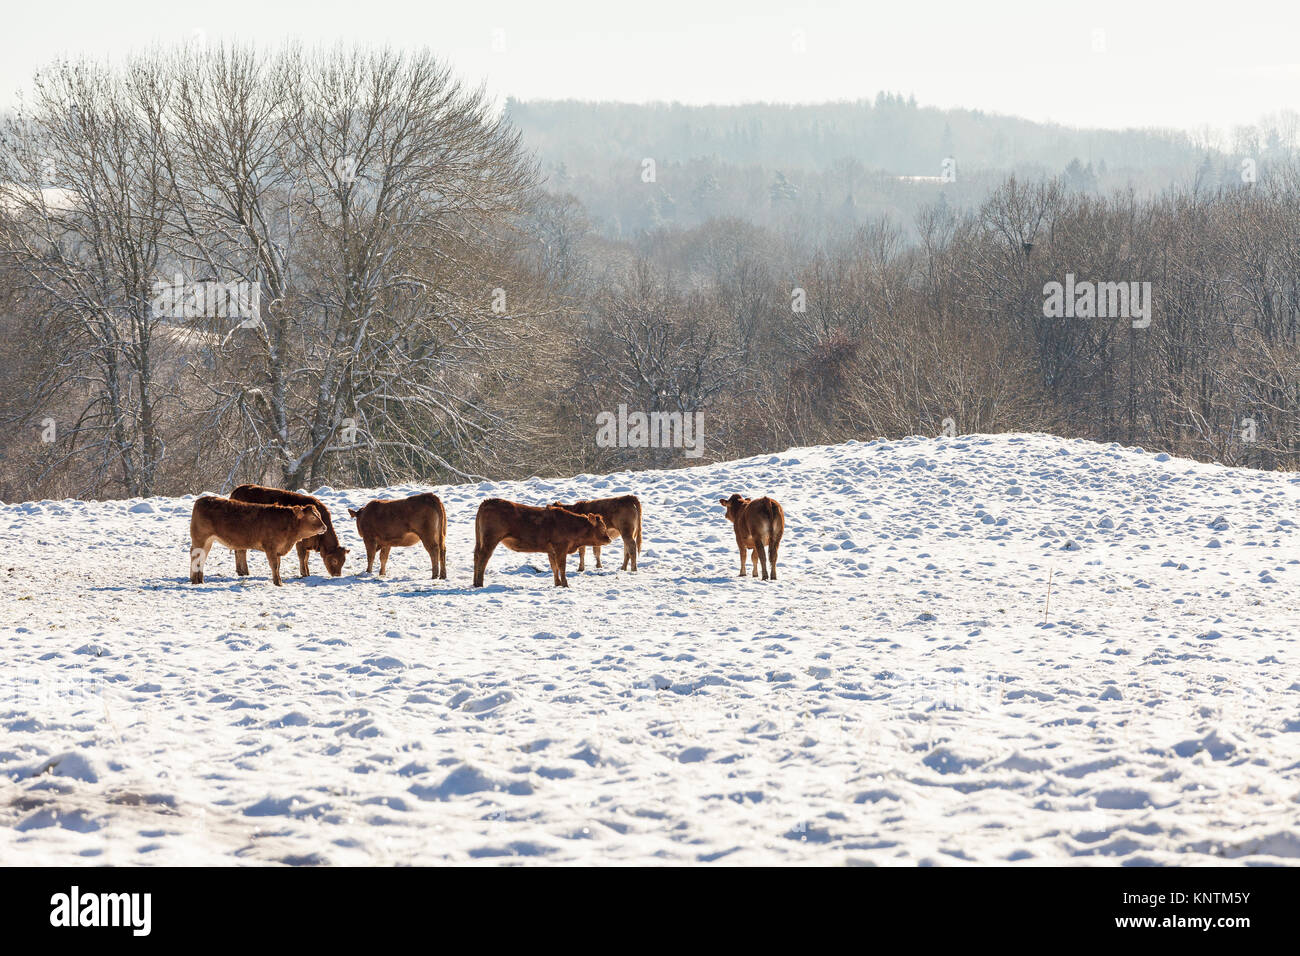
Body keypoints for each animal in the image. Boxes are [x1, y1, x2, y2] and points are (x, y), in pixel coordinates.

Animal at [189, 496, 326, 586]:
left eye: (319, 515)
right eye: (312, 517)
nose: (324, 527)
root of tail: (201, 500)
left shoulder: (278, 550)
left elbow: (278, 566)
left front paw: (278, 581)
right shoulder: (270, 547)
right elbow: (274, 565)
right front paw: (278, 583)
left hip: (208, 541)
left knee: (202, 557)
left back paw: (199, 579)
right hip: (200, 538)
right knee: (195, 556)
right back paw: (195, 580)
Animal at [473, 499, 617, 588]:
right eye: (602, 528)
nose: (609, 539)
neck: (570, 525)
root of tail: (487, 501)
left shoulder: (551, 551)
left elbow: (554, 567)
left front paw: (557, 584)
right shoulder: (560, 548)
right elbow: (562, 567)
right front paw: (565, 584)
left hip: (480, 541)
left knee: (476, 556)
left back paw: (475, 582)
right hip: (490, 540)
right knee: (483, 558)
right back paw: (480, 583)